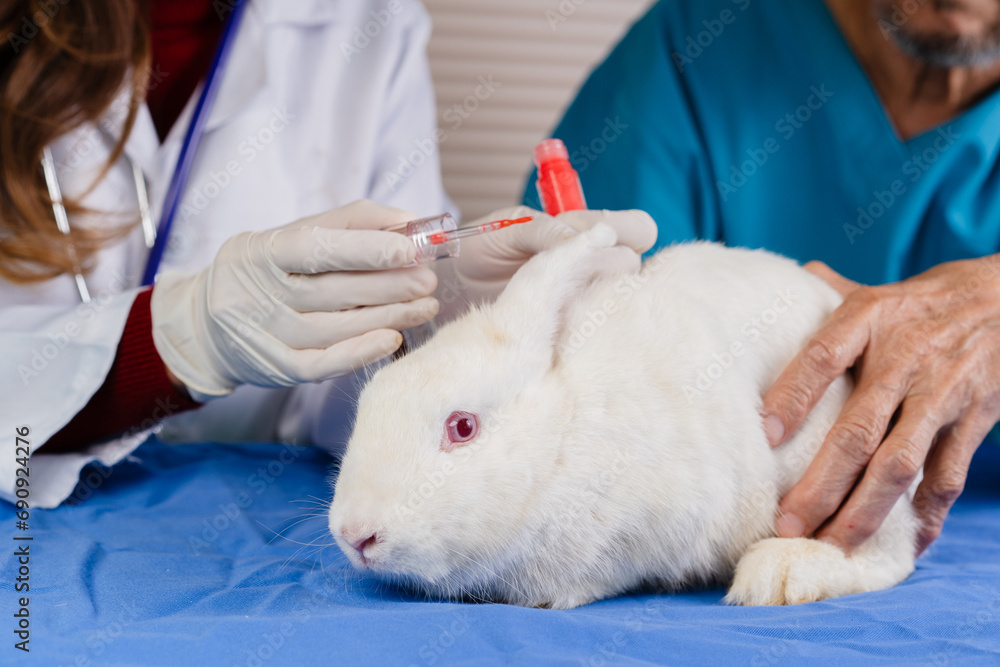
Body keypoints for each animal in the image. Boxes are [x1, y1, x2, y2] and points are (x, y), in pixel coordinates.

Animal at [327, 223, 919, 609]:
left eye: (463, 427)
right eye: (370, 401)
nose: (355, 535)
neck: (560, 439)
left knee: (889, 557)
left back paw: (780, 575)